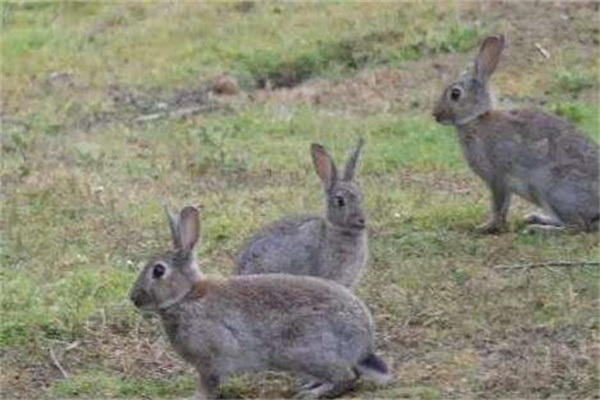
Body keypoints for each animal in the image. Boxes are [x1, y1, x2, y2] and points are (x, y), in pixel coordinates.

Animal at [129, 205, 390, 398]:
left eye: (158, 271)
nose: (134, 299)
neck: (186, 296)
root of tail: (363, 344)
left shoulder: (210, 360)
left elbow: (208, 386)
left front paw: (195, 398)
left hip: (306, 351)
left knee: (347, 377)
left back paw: (311, 394)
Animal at [434, 34, 596, 234]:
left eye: (455, 94)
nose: (436, 114)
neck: (477, 119)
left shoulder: (497, 177)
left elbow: (499, 205)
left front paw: (487, 227)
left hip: (554, 188)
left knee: (578, 225)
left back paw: (538, 228)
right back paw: (535, 218)